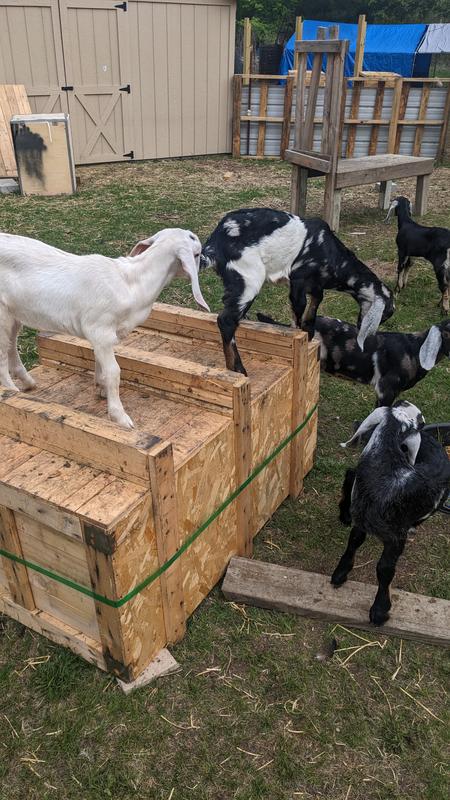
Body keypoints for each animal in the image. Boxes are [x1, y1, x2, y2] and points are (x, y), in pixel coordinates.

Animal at [0, 228, 209, 429]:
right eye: (196, 252)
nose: (207, 262)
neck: (131, 284)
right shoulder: (101, 331)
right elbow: (114, 372)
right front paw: (119, 416)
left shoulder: (101, 336)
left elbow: (99, 362)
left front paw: (100, 388)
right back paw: (12, 391)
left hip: (13, 314)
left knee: (11, 345)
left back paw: (27, 383)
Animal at [201, 208, 394, 374]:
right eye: (387, 314)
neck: (333, 256)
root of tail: (214, 244)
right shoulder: (298, 278)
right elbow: (299, 307)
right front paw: (300, 335)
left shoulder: (314, 283)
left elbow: (315, 301)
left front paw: (308, 331)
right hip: (249, 278)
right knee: (226, 321)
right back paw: (238, 369)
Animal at [331, 401, 450, 626]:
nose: (422, 422)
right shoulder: (380, 530)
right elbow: (370, 556)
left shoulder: (384, 531)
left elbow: (371, 557)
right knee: (350, 473)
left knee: (350, 473)